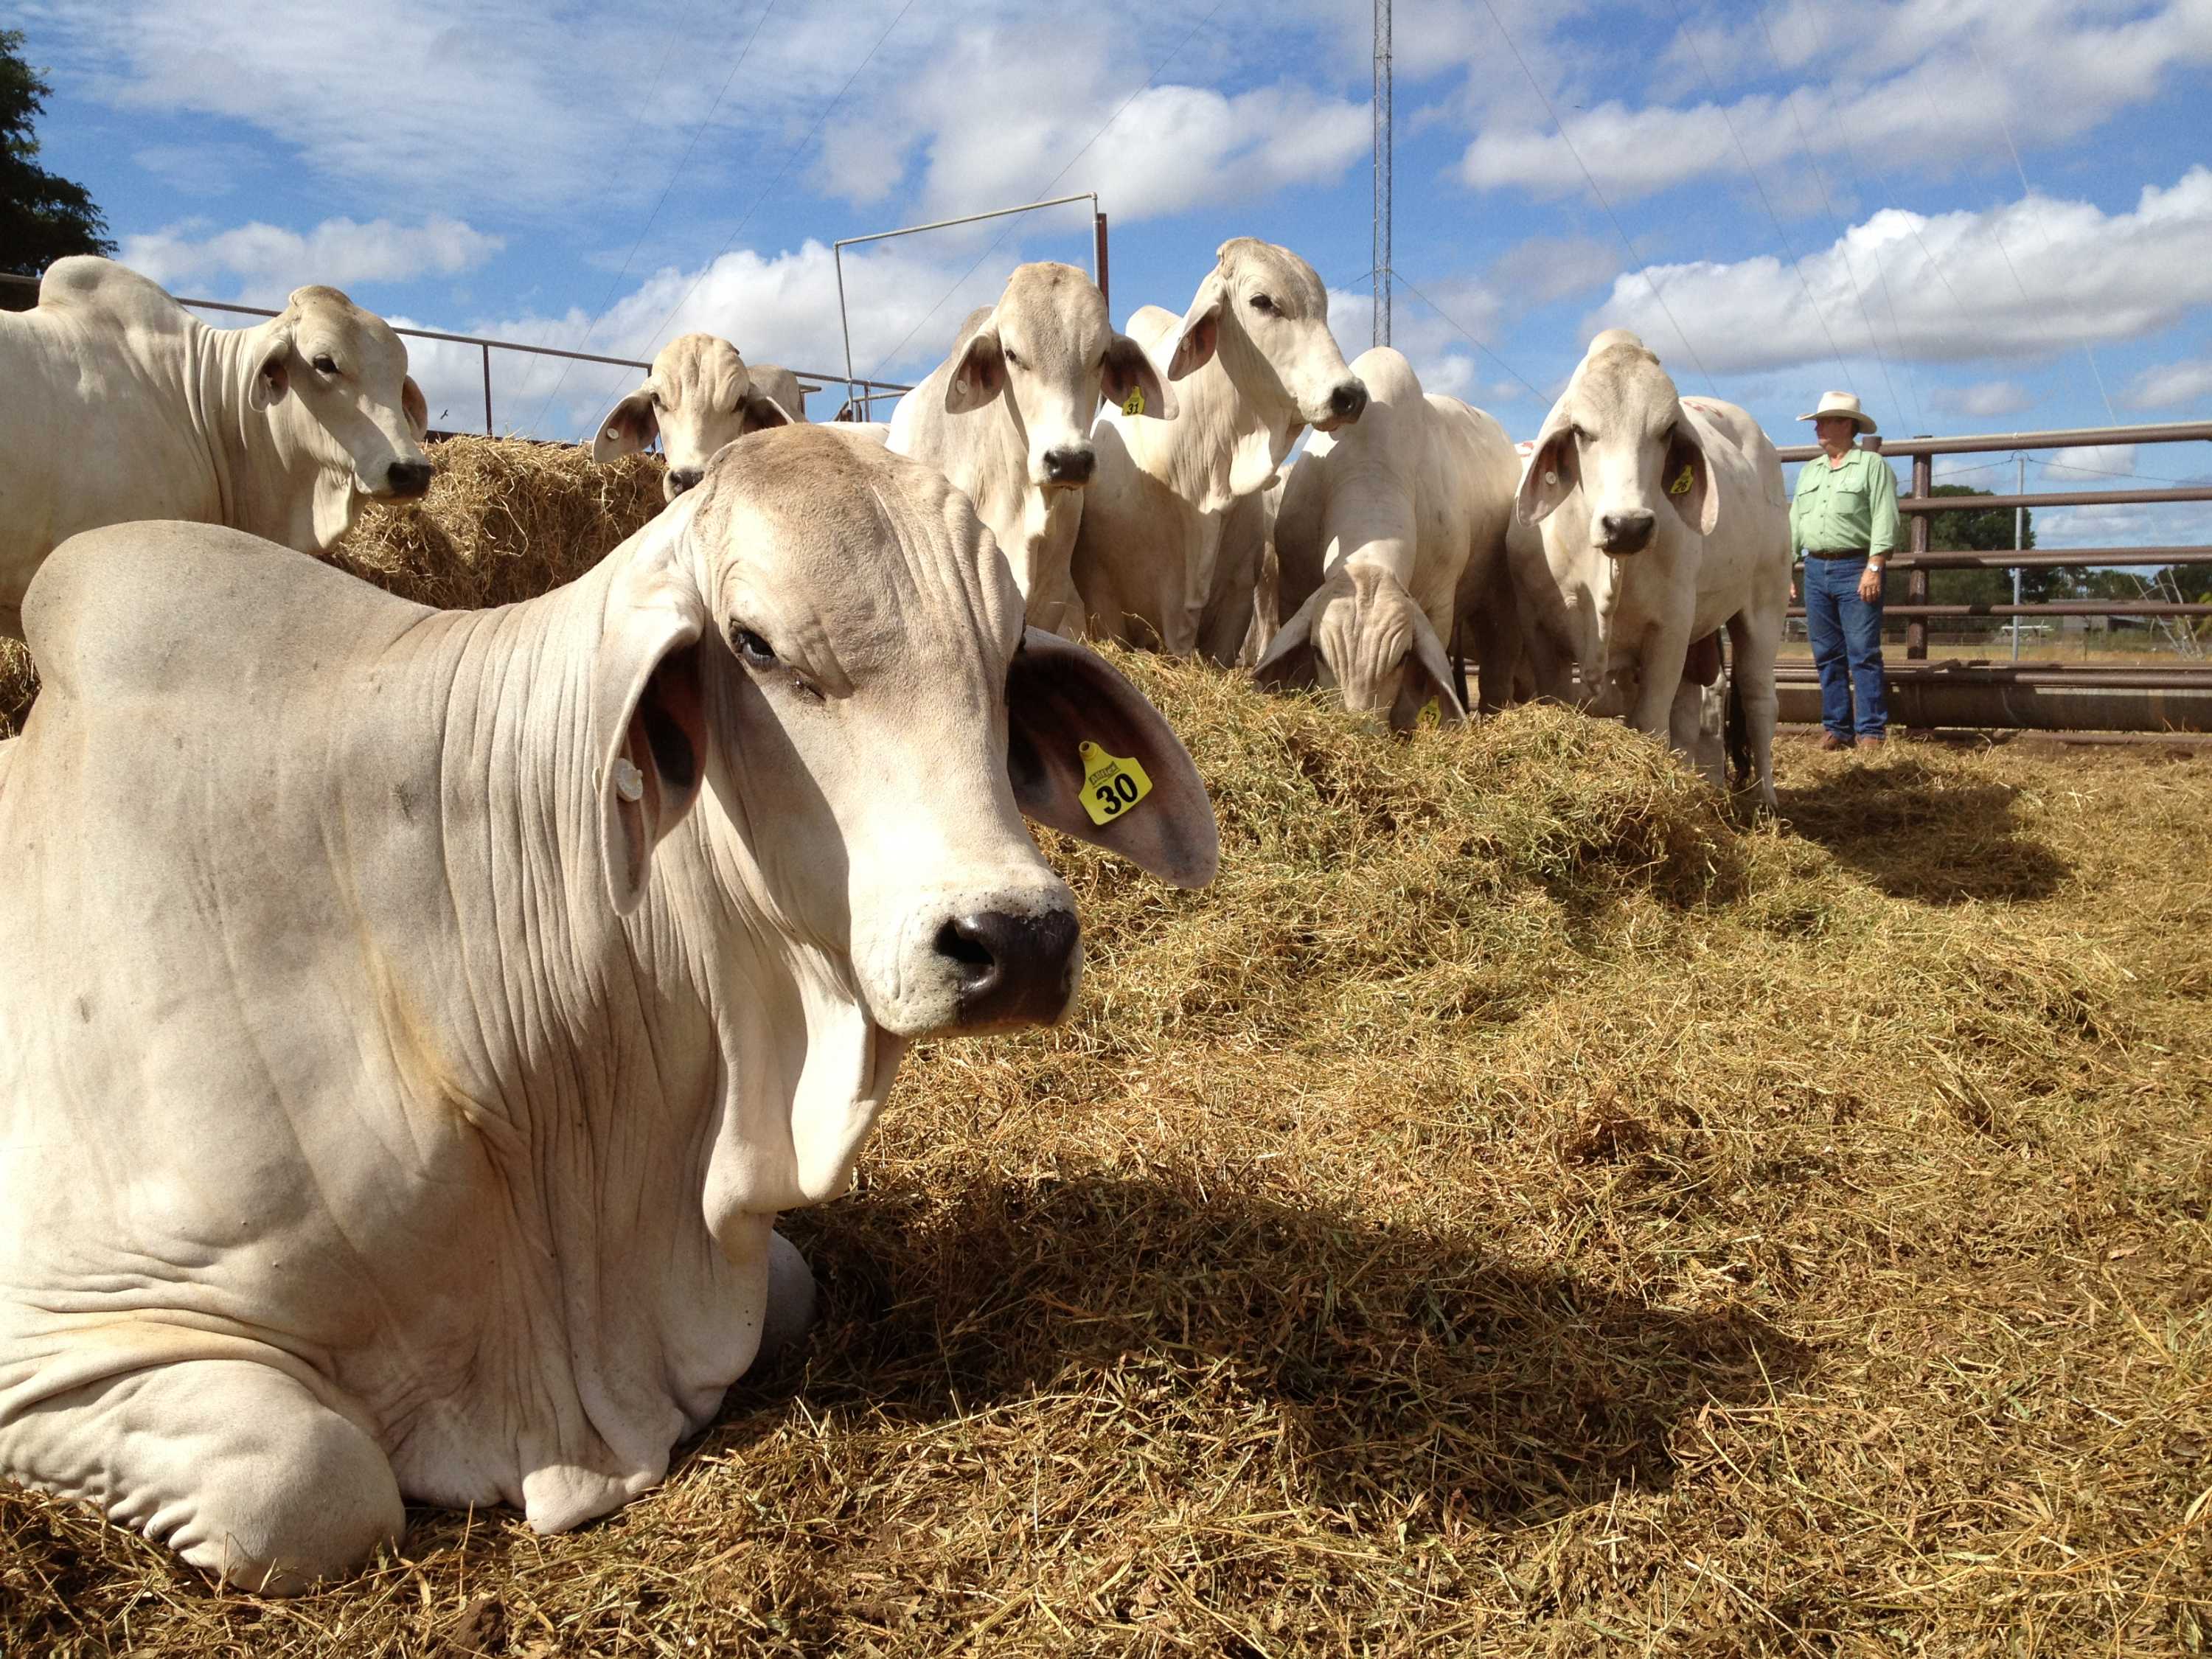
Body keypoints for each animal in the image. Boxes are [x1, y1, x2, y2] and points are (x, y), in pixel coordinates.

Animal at [0, 427, 1220, 1594]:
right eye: (755, 645)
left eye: (1006, 660)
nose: (1018, 938)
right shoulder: (57, 1330)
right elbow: (311, 1480)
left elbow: (788, 1283)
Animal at [1253, 348, 1522, 729]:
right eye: (1319, 653)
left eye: (1401, 658)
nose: (1359, 730)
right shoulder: (1292, 586)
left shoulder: (1438, 606)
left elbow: (1414, 692)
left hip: (1500, 597)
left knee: (1498, 662)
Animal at [1512, 329, 1791, 808]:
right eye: (1581, 431)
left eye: (1667, 431)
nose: (1627, 526)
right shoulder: (1537, 628)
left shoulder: (1670, 629)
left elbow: (1650, 722)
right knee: (1699, 701)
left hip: (1765, 605)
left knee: (1758, 698)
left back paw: (1765, 802)